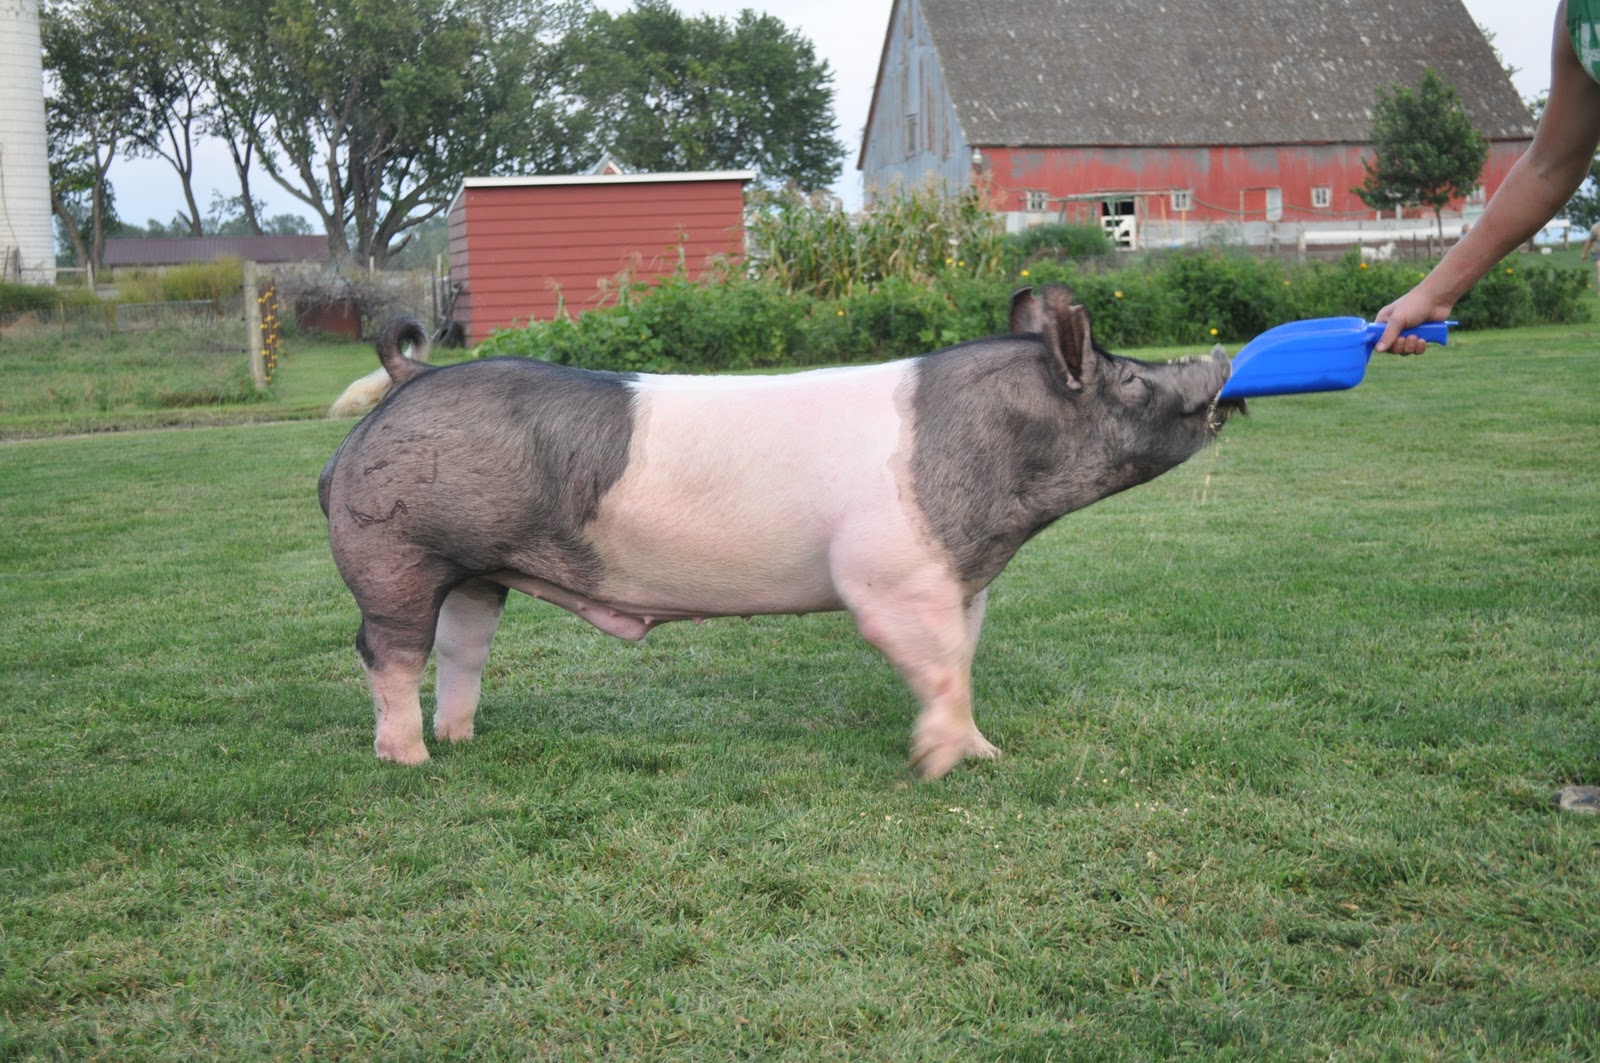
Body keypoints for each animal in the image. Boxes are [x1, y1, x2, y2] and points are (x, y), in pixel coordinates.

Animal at [318, 284, 1242, 779]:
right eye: (1129, 380)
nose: (1220, 363)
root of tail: (413, 375)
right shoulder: (890, 574)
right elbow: (937, 663)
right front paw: (940, 762)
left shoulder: (962, 578)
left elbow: (964, 655)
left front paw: (986, 754)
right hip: (395, 552)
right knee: (387, 654)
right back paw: (411, 760)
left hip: (477, 570)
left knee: (461, 648)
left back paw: (463, 738)